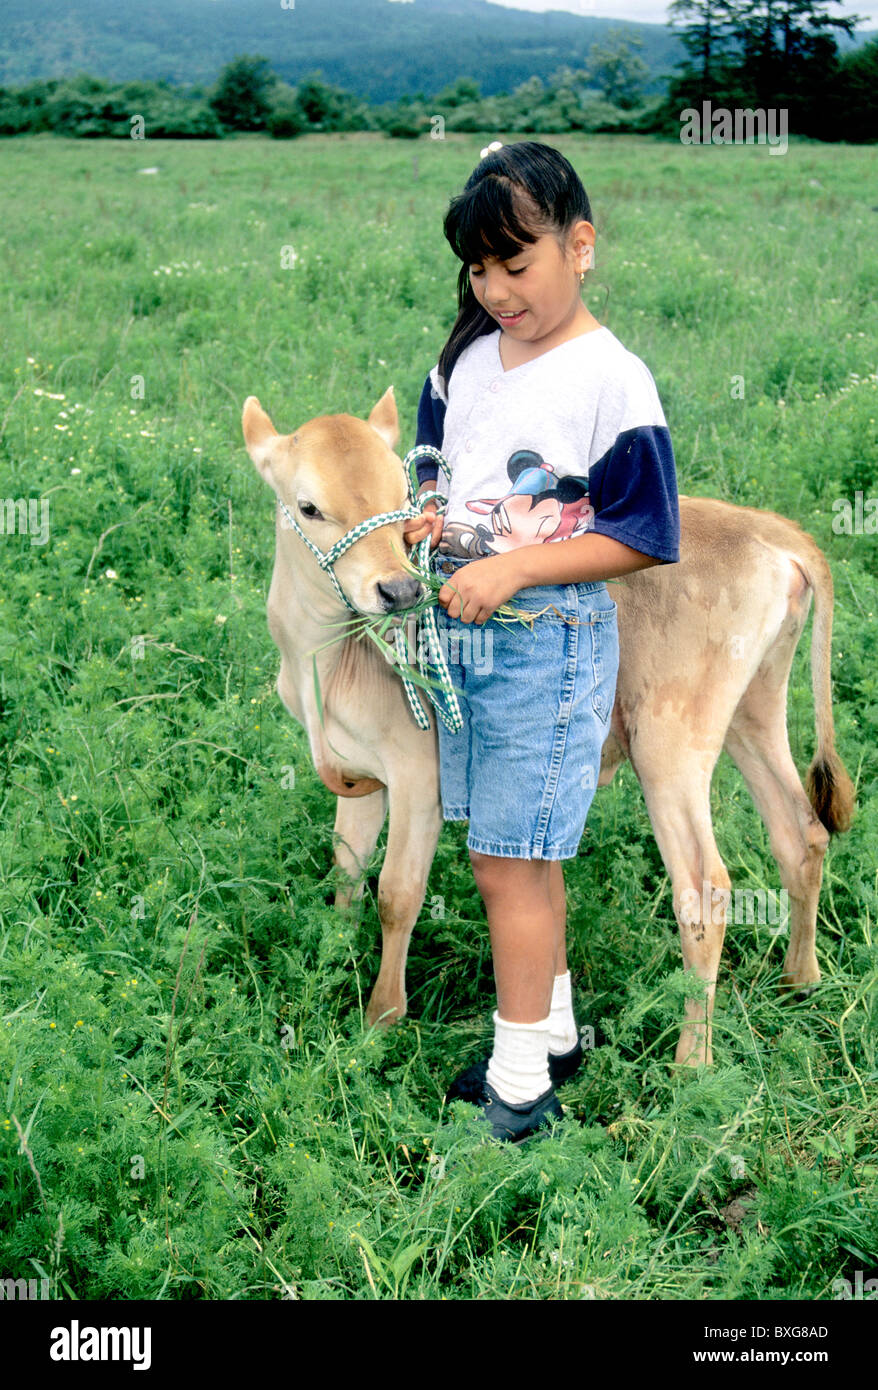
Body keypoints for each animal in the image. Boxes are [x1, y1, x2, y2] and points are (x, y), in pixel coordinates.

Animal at [242, 386, 855, 1068]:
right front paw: (336, 955)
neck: (322, 661)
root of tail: (771, 529)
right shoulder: (362, 775)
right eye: (309, 507)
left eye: (397, 500)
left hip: (669, 740)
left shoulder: (419, 778)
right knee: (800, 834)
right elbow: (347, 871)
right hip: (754, 708)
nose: (400, 590)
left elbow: (396, 894)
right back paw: (800, 980)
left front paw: (382, 1018)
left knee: (707, 887)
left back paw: (691, 1061)